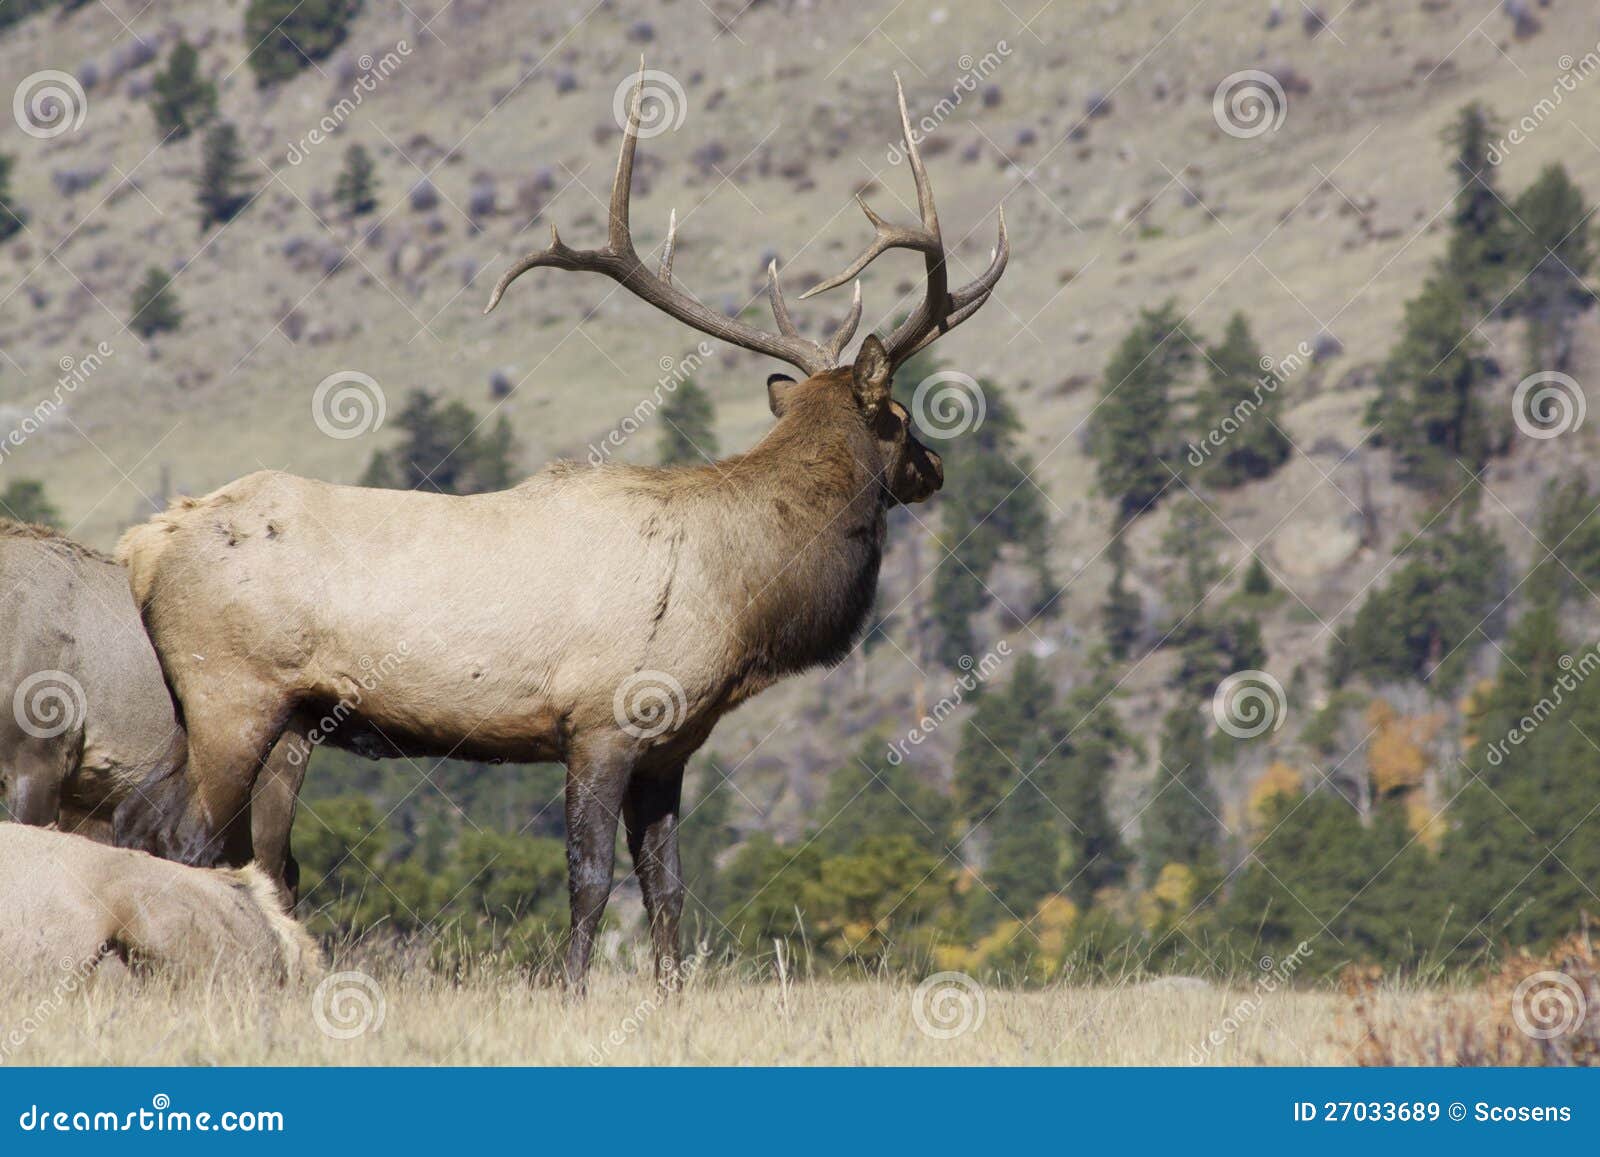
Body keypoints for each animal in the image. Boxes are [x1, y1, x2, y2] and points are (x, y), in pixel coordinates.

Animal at [112, 68, 1008, 989]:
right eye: (899, 417)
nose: (936, 467)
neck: (742, 600)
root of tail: (144, 544)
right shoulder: (602, 720)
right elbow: (590, 878)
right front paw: (574, 988)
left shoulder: (670, 744)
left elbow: (667, 885)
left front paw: (670, 991)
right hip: (229, 690)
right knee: (188, 837)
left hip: (271, 716)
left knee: (225, 844)